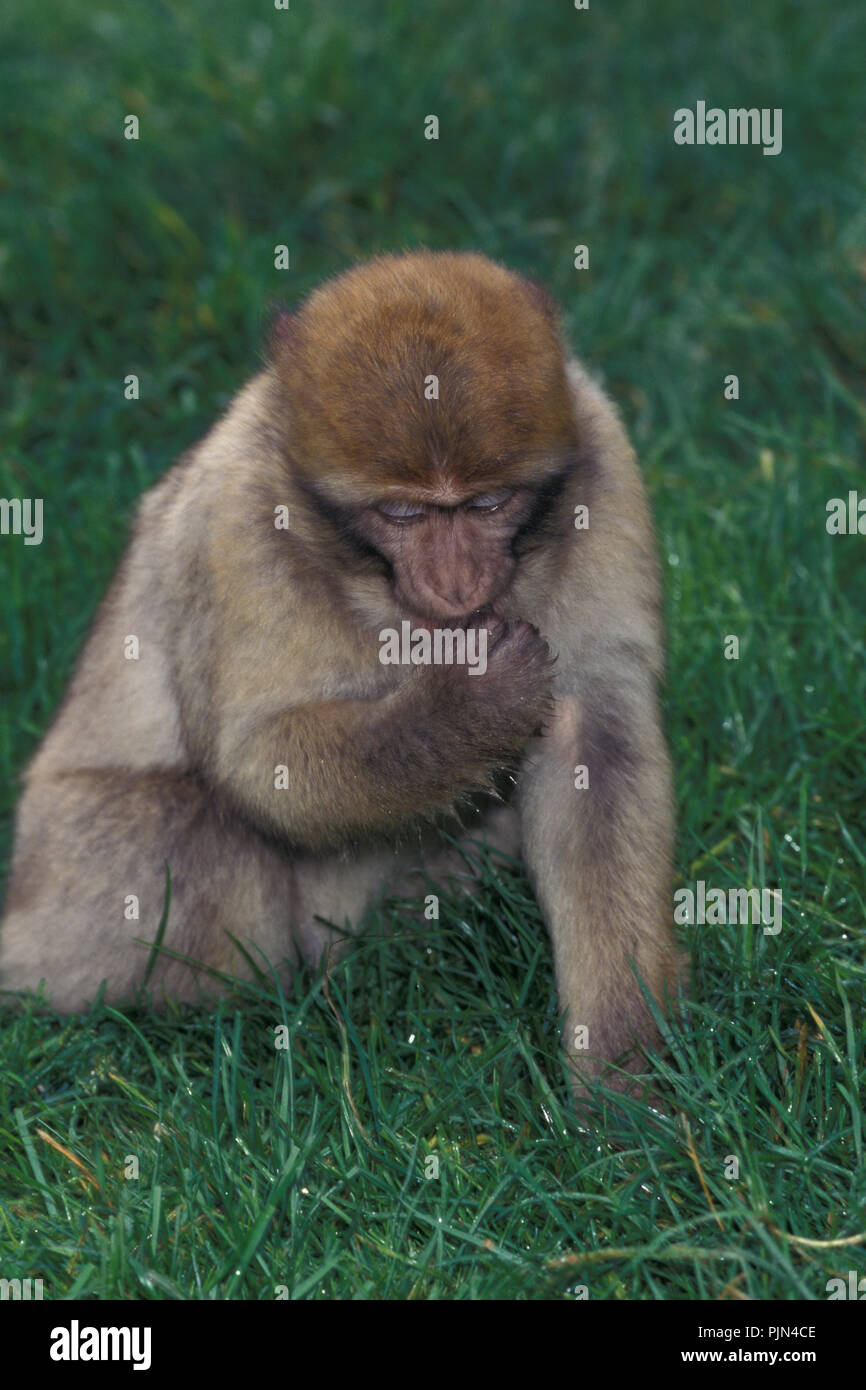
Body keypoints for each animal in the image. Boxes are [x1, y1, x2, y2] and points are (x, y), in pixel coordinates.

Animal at [0, 250, 684, 1097]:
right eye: (403, 514)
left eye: (490, 503)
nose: (458, 582)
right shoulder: (239, 523)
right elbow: (257, 762)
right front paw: (467, 706)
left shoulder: (606, 469)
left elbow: (595, 745)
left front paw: (624, 1076)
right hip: (74, 904)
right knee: (201, 828)